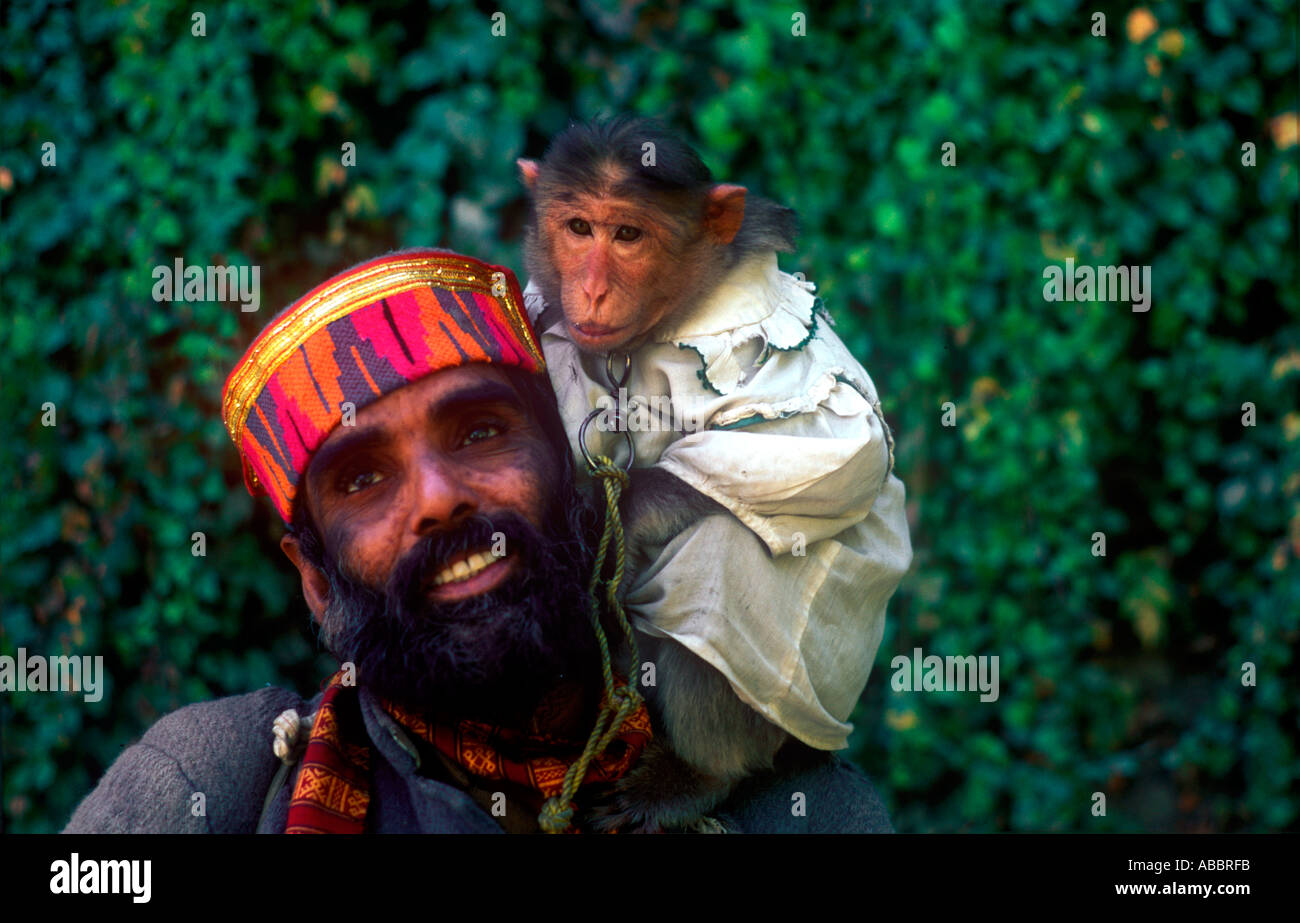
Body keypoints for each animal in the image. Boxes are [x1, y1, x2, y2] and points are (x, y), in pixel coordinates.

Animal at [516, 116, 912, 832]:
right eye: (579, 228)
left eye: (628, 235)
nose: (591, 289)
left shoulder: (764, 339)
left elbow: (836, 444)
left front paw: (617, 520)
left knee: (725, 561)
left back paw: (695, 776)